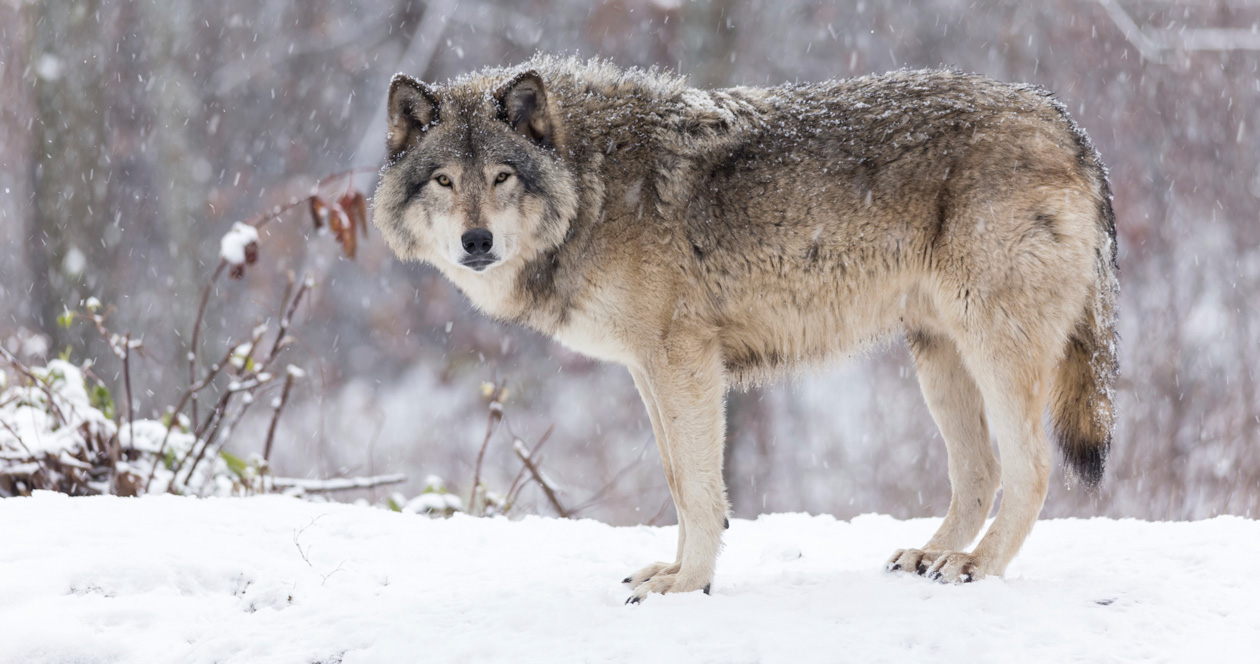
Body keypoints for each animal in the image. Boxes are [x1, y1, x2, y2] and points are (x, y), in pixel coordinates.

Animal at [373, 55, 1118, 603]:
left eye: (502, 176)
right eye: (444, 181)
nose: (476, 242)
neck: (594, 189)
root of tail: (1066, 120)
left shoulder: (685, 362)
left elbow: (701, 491)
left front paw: (689, 585)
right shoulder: (648, 369)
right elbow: (679, 482)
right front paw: (675, 573)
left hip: (994, 349)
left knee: (1030, 468)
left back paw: (975, 566)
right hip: (937, 355)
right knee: (980, 470)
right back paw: (932, 554)